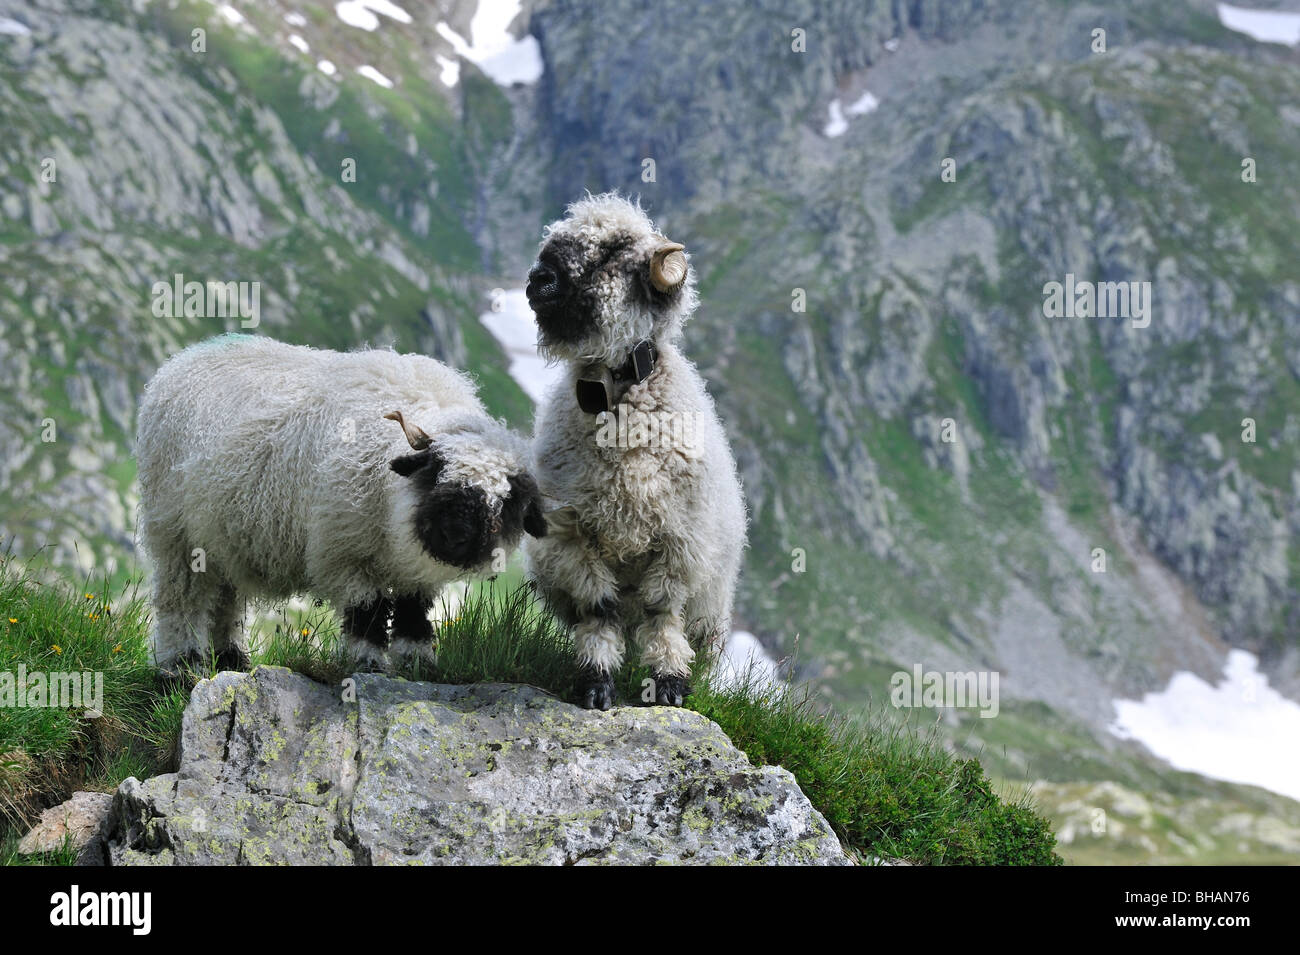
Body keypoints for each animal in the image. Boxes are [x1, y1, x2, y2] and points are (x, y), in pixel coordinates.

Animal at [135, 334, 546, 676]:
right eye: (435, 471)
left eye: (507, 500)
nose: (455, 534)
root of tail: (186, 357)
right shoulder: (345, 553)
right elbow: (369, 610)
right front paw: (367, 662)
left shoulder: (419, 574)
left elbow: (413, 612)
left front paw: (417, 662)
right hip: (177, 535)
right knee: (181, 601)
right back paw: (180, 664)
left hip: (225, 541)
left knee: (226, 600)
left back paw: (231, 659)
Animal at [523, 193, 747, 709]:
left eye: (613, 251)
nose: (538, 279)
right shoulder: (572, 537)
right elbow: (598, 609)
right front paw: (596, 682)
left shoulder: (680, 541)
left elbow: (661, 612)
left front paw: (669, 682)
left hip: (712, 612)